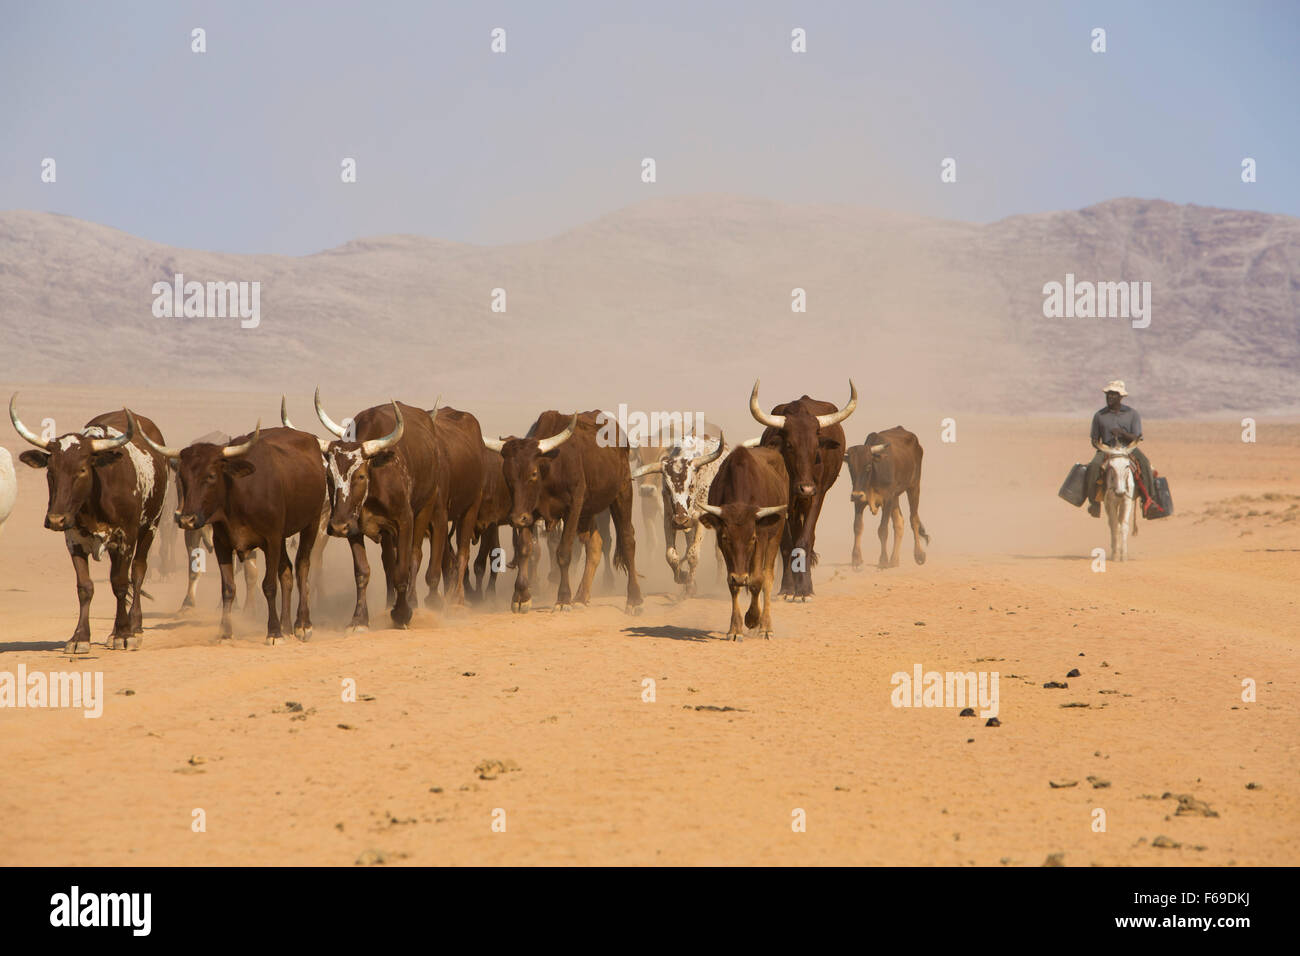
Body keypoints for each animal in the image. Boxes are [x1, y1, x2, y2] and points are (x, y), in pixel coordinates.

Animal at [10, 392, 167, 655]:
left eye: (82, 470)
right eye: (50, 471)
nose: (55, 519)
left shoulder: (126, 538)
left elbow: (120, 583)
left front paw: (124, 635)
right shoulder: (74, 540)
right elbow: (85, 587)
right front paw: (80, 637)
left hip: (151, 527)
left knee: (137, 573)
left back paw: (135, 627)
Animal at [486, 408, 642, 613]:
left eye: (533, 473)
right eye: (506, 475)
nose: (516, 519)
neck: (550, 468)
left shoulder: (573, 508)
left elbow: (564, 552)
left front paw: (563, 598)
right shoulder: (529, 513)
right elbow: (525, 549)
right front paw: (521, 597)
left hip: (622, 491)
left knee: (627, 539)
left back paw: (634, 599)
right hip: (589, 510)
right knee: (595, 545)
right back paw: (581, 597)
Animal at [696, 444, 785, 639]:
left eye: (752, 538)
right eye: (725, 538)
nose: (739, 577)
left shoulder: (762, 537)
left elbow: (757, 580)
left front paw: (752, 618)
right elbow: (733, 585)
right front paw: (735, 629)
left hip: (776, 535)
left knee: (768, 577)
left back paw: (765, 626)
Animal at [748, 379, 857, 598]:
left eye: (816, 446)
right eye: (790, 445)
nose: (805, 488)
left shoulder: (817, 495)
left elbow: (804, 540)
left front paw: (805, 589)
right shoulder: (783, 503)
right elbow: (786, 545)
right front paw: (788, 588)